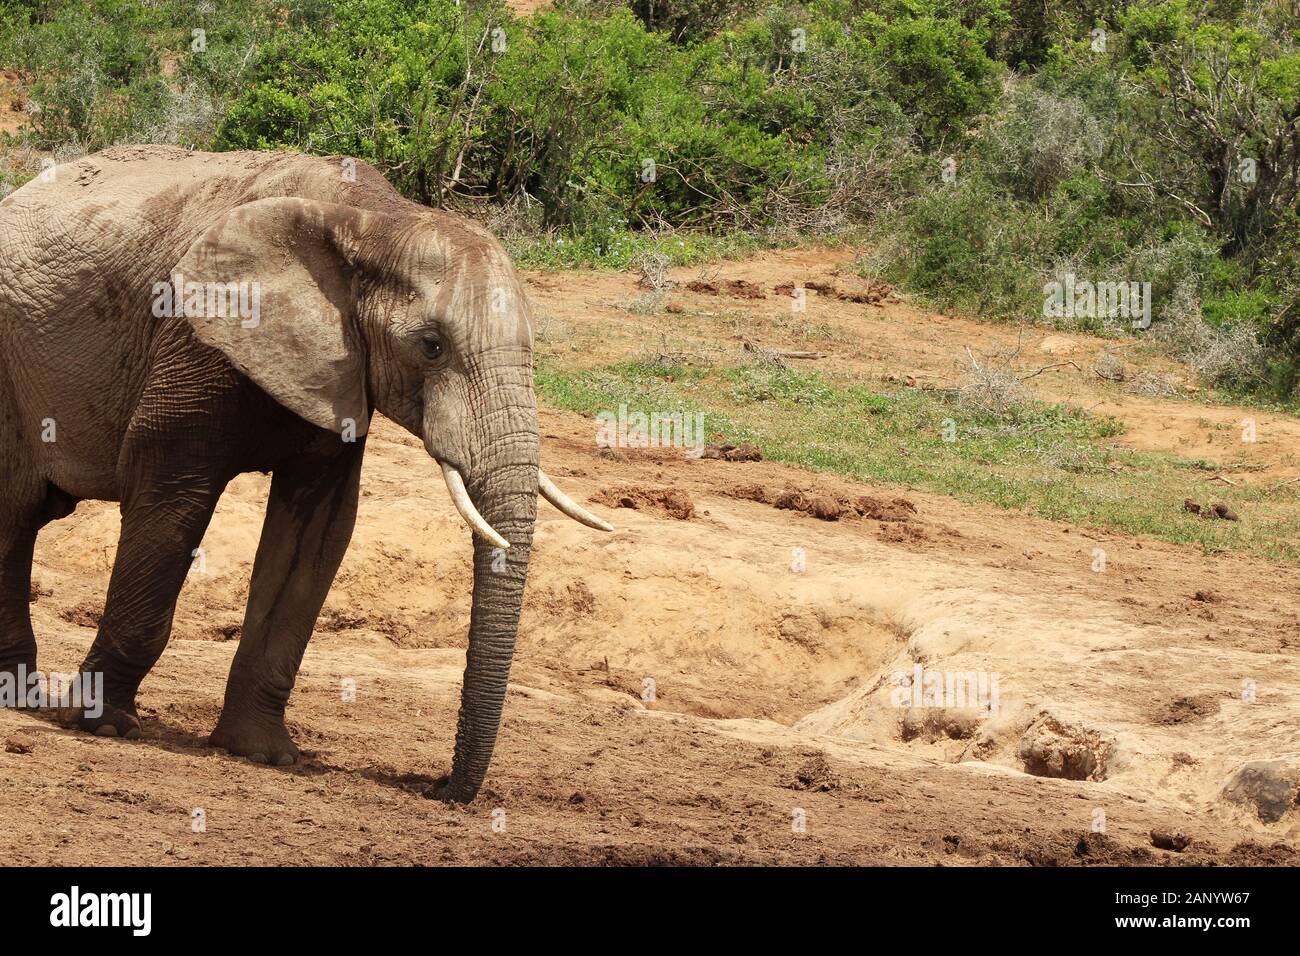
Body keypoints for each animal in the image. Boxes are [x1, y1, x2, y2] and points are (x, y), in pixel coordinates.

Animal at [0, 145, 613, 802]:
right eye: (431, 346)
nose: (437, 788)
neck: (376, 219)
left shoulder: (342, 370)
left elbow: (317, 529)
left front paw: (262, 754)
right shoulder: (193, 337)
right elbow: (168, 497)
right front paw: (103, 723)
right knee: (15, 511)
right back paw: (17, 698)